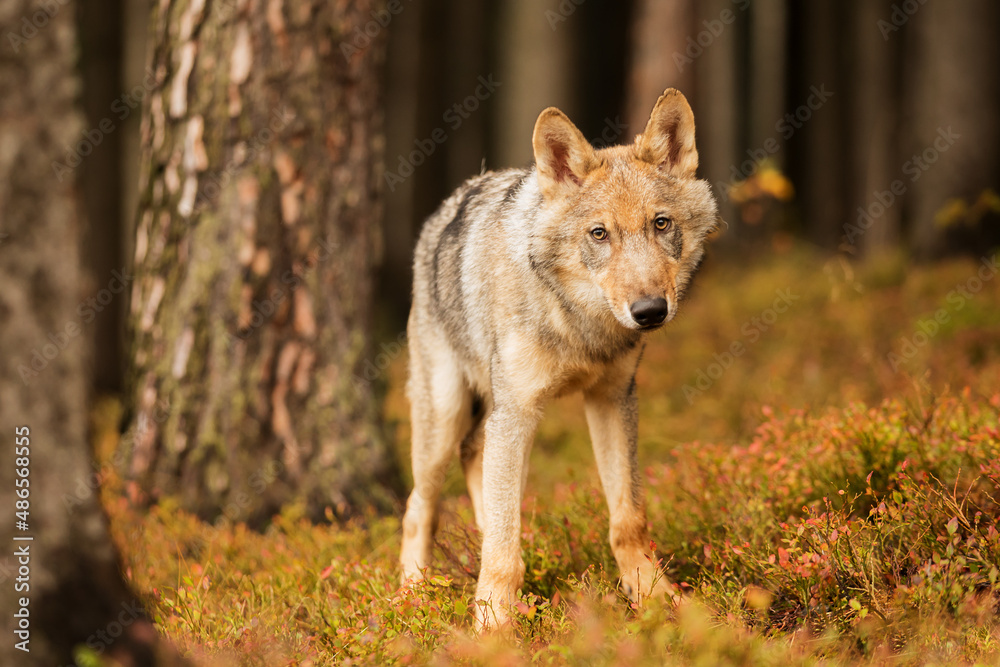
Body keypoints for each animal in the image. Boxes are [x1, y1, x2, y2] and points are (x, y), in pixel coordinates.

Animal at [399, 88, 719, 628]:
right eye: (599, 234)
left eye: (661, 224)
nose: (650, 311)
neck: (580, 326)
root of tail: (441, 213)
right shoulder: (518, 412)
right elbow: (502, 550)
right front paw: (491, 628)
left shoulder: (612, 400)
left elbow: (627, 519)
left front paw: (654, 598)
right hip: (445, 422)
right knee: (419, 507)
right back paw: (409, 598)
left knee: (478, 471)